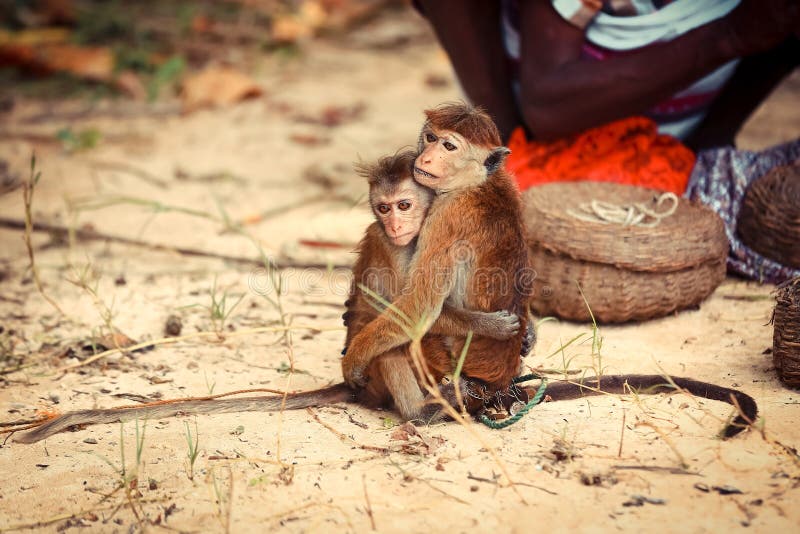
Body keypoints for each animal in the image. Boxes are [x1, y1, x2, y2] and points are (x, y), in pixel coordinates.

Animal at [341, 102, 532, 416]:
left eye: (449, 146)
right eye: (430, 138)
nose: (427, 157)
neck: (480, 183)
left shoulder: (445, 215)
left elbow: (418, 307)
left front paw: (353, 358)